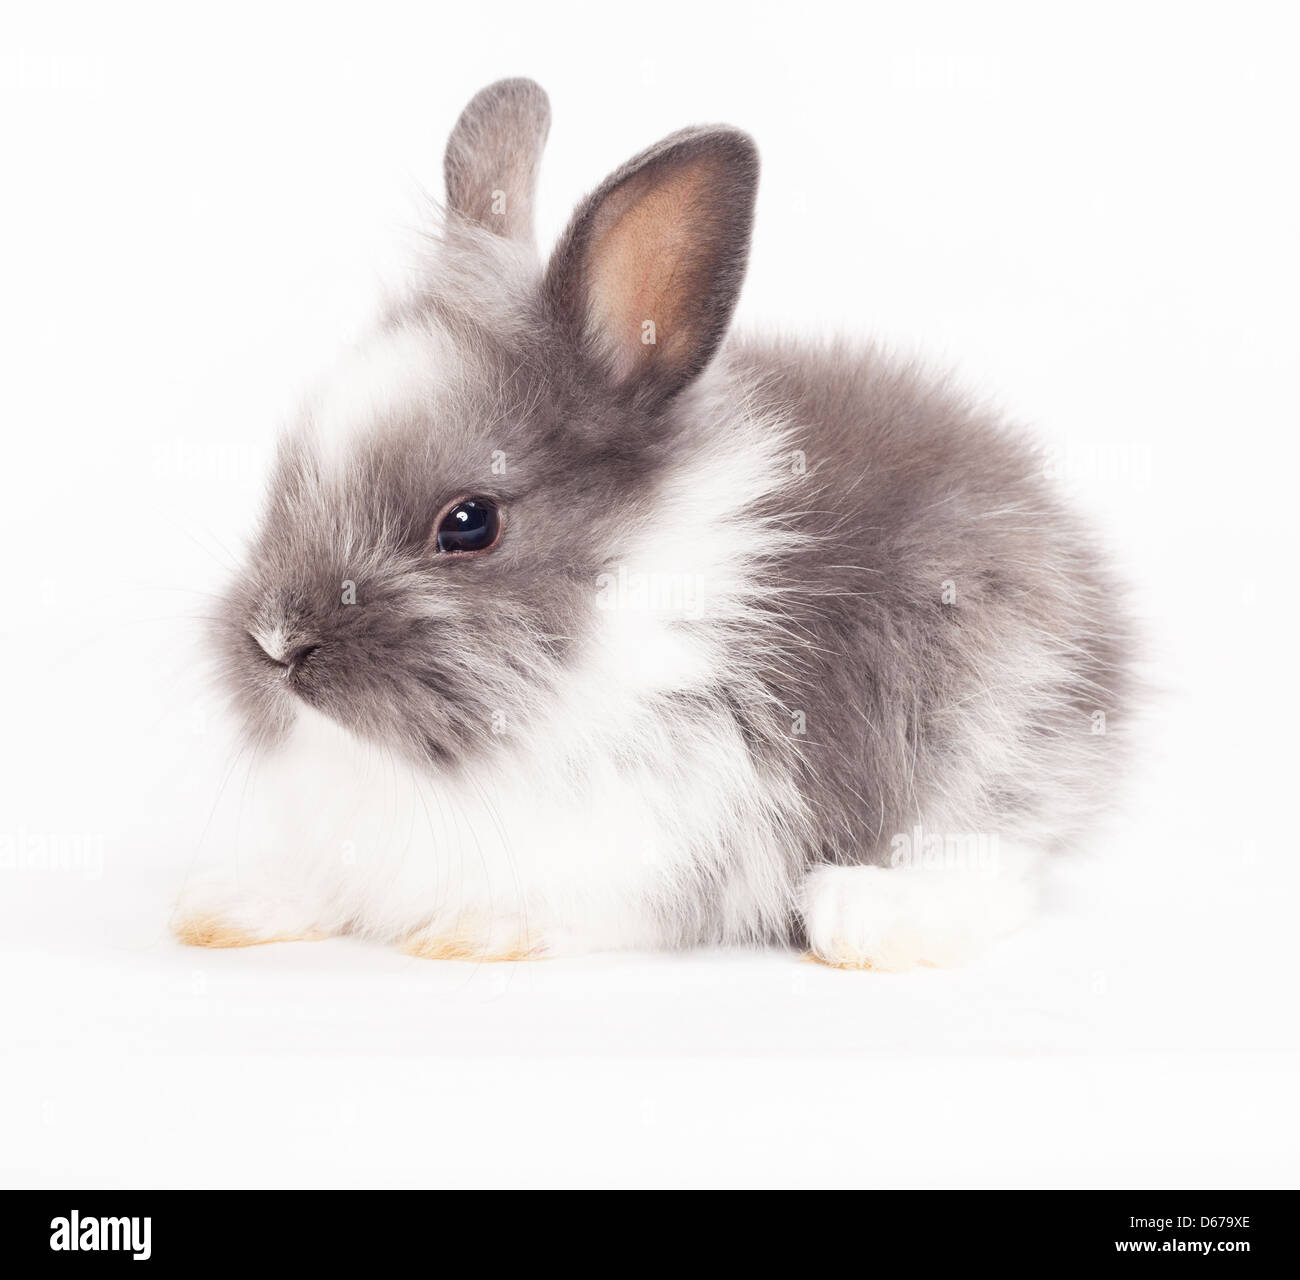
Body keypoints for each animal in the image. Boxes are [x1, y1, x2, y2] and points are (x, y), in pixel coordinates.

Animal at [172, 78, 1131, 970]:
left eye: (469, 523)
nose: (276, 642)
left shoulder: (673, 831)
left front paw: (480, 930)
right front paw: (226, 906)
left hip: (992, 728)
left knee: (997, 865)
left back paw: (866, 919)